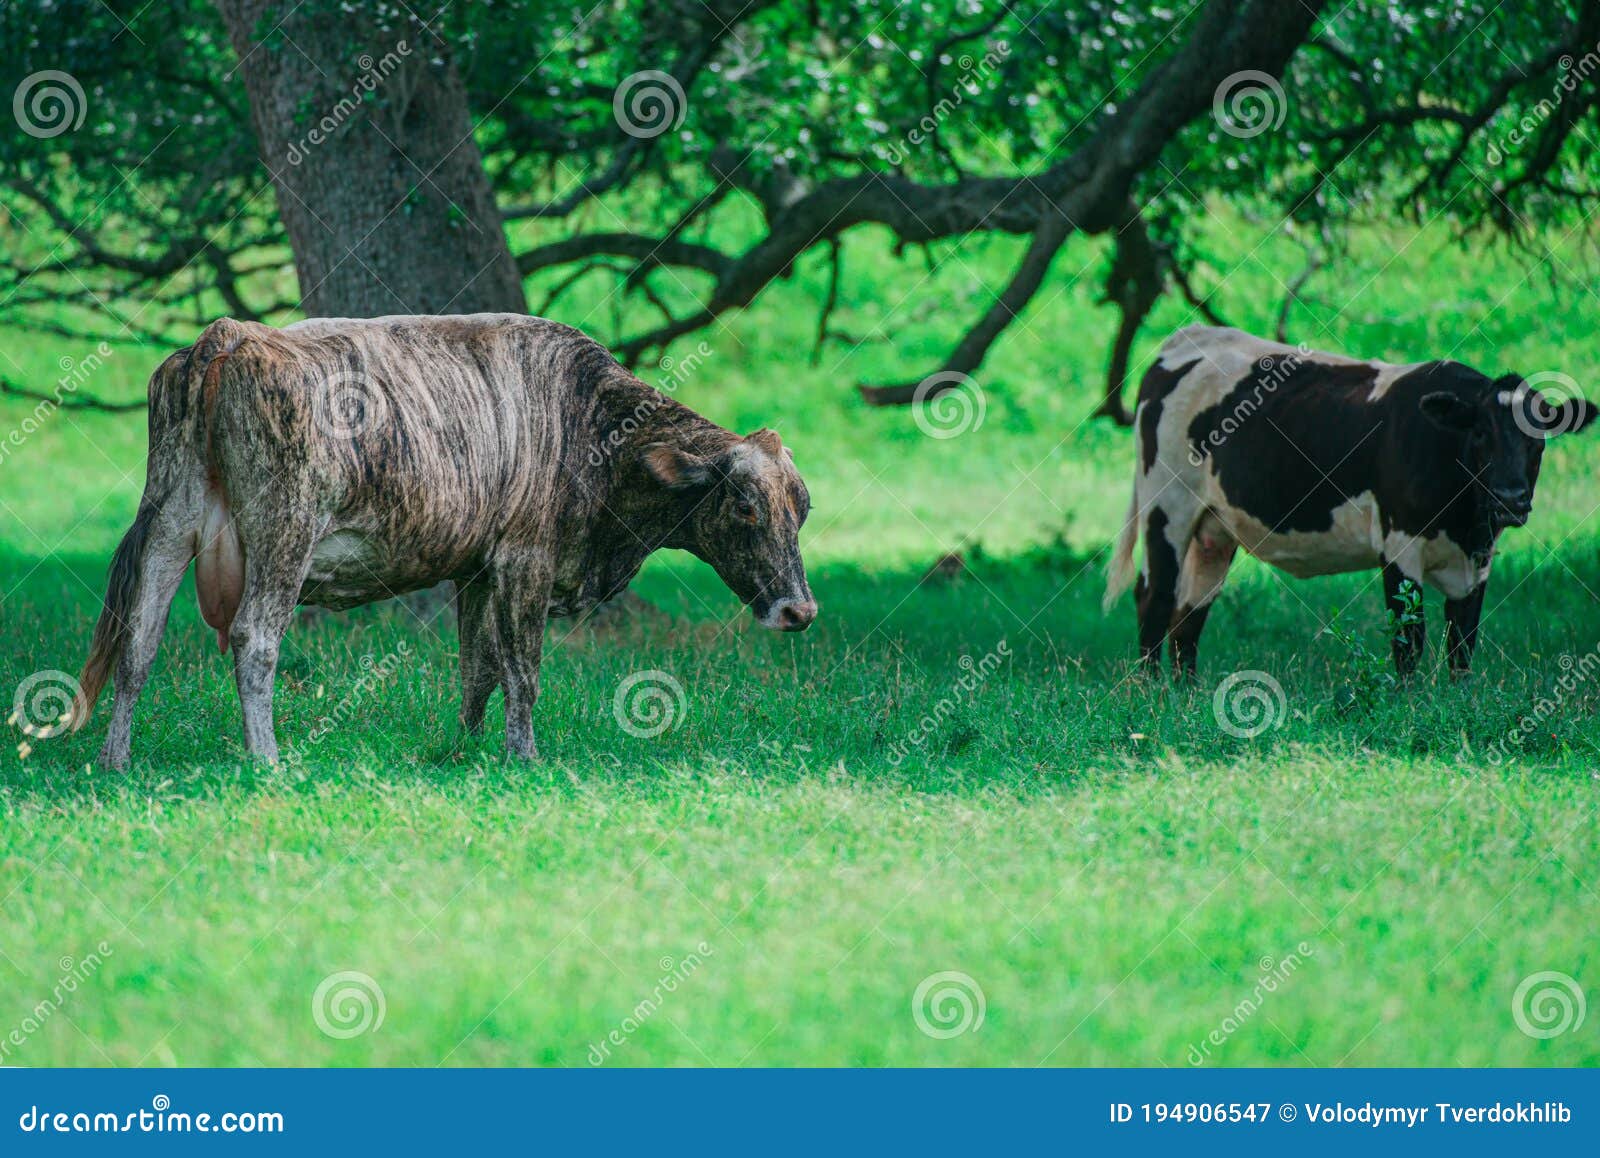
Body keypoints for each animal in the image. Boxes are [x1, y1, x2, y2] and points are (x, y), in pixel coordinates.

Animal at [68, 314, 817, 769]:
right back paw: (267, 760)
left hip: (170, 527)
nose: (800, 610)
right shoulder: (523, 562)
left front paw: (467, 749)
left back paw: (115, 761)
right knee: (255, 639)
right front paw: (524, 758)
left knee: (138, 642)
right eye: (744, 506)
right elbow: (522, 671)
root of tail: (228, 337)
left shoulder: (477, 570)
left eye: (803, 508)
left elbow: (477, 667)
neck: (589, 422)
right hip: (285, 532)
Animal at [1104, 325, 1595, 679]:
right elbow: (1409, 638)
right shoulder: (1398, 543)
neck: (1464, 522)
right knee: (1155, 598)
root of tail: (1188, 337)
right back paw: (1151, 693)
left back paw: (1185, 698)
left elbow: (1462, 642)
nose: (1511, 498)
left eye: (1539, 442)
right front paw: (1409, 705)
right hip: (1167, 508)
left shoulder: (1479, 560)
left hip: (1214, 531)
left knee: (1189, 614)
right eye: (1480, 434)